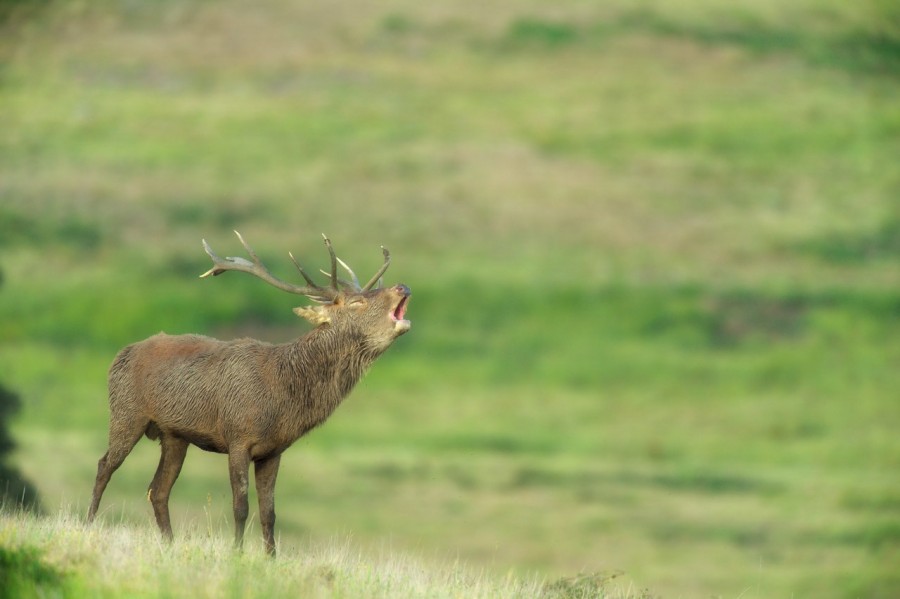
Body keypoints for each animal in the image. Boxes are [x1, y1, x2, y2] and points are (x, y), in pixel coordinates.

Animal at [86, 231, 411, 556]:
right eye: (357, 302)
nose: (402, 286)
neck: (283, 396)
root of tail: (122, 353)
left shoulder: (273, 451)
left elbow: (269, 512)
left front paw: (271, 558)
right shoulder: (238, 437)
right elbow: (240, 506)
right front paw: (238, 552)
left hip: (174, 436)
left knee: (158, 490)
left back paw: (169, 543)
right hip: (126, 412)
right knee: (105, 466)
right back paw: (89, 524)